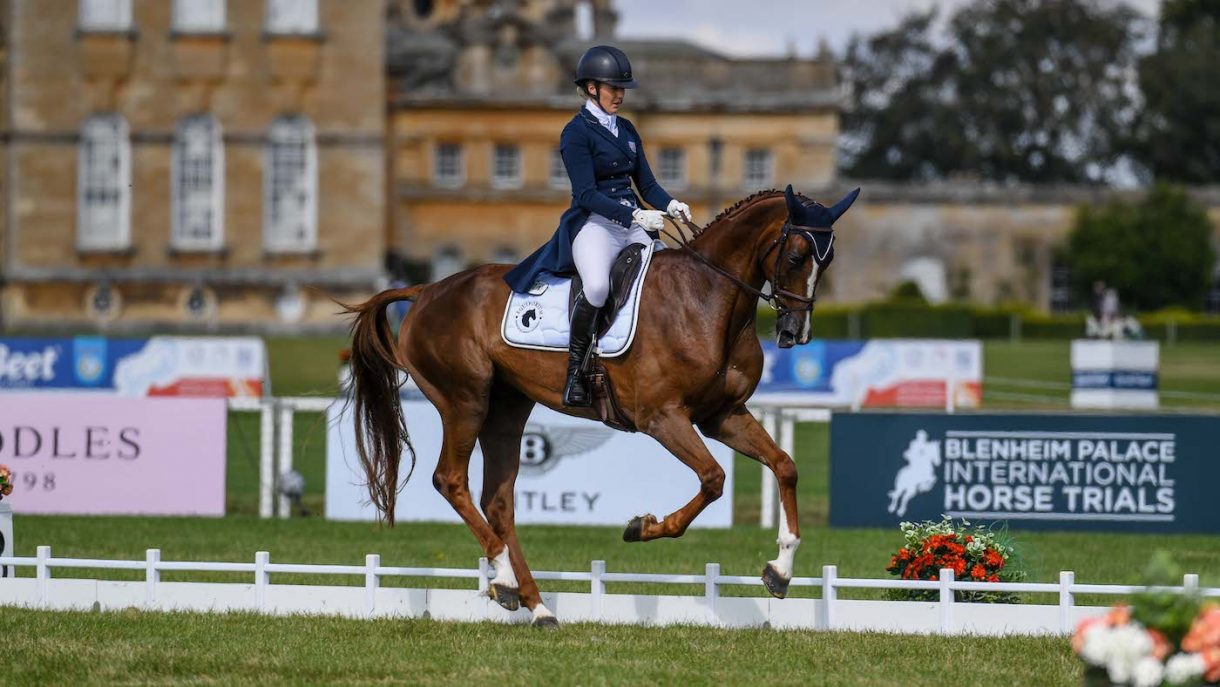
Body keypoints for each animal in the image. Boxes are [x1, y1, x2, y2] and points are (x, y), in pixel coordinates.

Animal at [344, 185, 858, 626]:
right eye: (795, 256)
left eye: (829, 260)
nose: (795, 333)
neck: (708, 300)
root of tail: (425, 291)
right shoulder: (662, 418)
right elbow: (713, 479)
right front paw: (643, 527)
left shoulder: (721, 416)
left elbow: (785, 466)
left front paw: (780, 570)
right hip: (464, 401)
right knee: (451, 481)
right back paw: (506, 579)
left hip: (506, 409)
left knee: (499, 501)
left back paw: (535, 605)